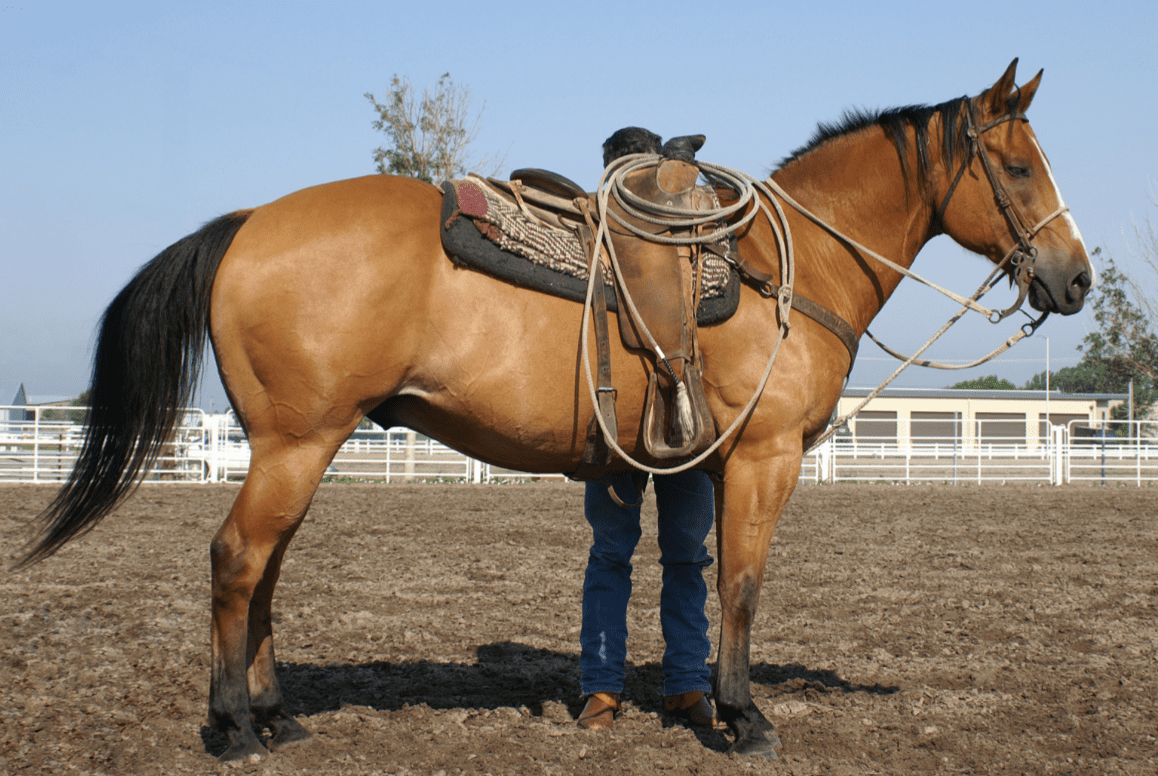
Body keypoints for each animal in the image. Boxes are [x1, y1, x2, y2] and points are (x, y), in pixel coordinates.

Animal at [20, 59, 1091, 761]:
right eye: (1020, 167)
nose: (1075, 278)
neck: (786, 268)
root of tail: (246, 224)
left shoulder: (707, 468)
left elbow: (703, 583)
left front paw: (705, 704)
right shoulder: (764, 458)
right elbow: (744, 589)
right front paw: (745, 719)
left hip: (294, 446)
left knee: (265, 569)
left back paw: (275, 714)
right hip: (297, 443)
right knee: (238, 560)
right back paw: (236, 728)